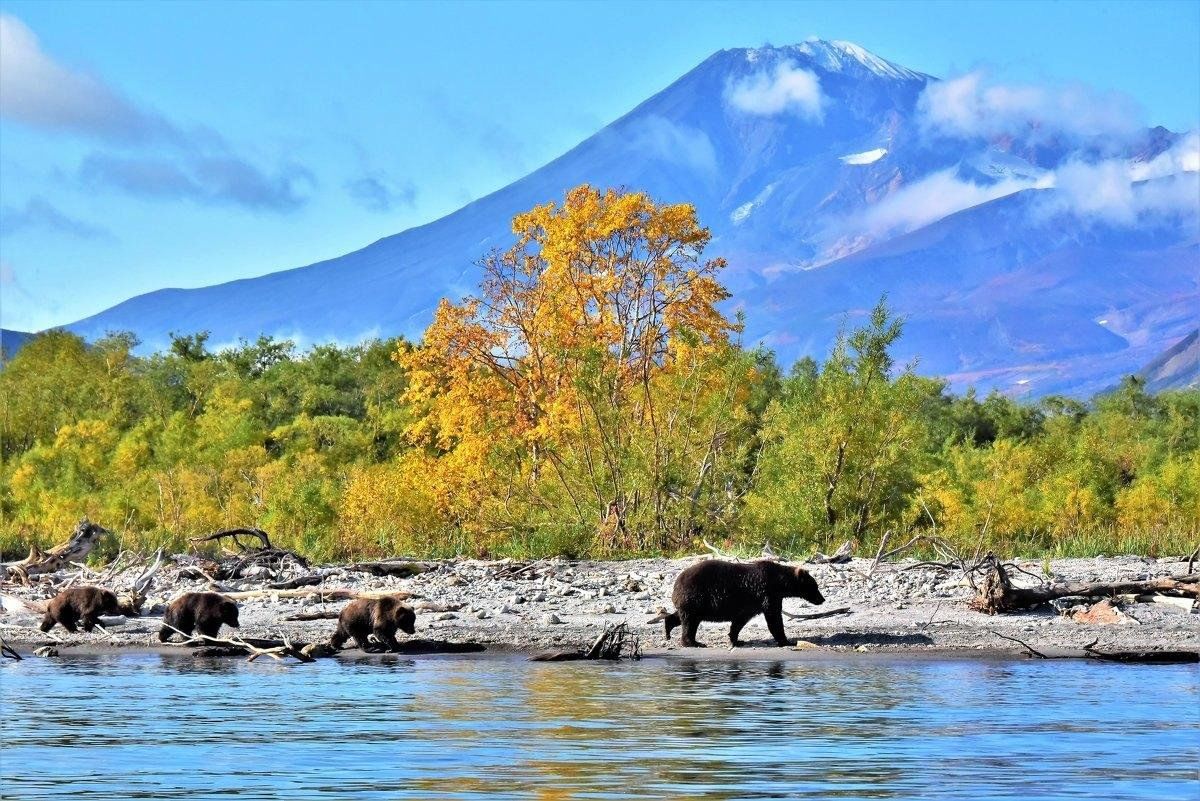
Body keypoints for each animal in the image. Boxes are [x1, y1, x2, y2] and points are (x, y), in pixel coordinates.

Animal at [662, 561, 820, 647]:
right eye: (815, 586)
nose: (822, 599)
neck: (780, 583)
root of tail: (676, 583)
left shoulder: (754, 602)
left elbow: (740, 620)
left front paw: (735, 639)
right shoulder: (767, 594)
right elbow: (774, 618)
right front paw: (786, 641)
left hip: (695, 603)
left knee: (683, 617)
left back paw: (668, 628)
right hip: (696, 596)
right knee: (689, 623)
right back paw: (693, 642)